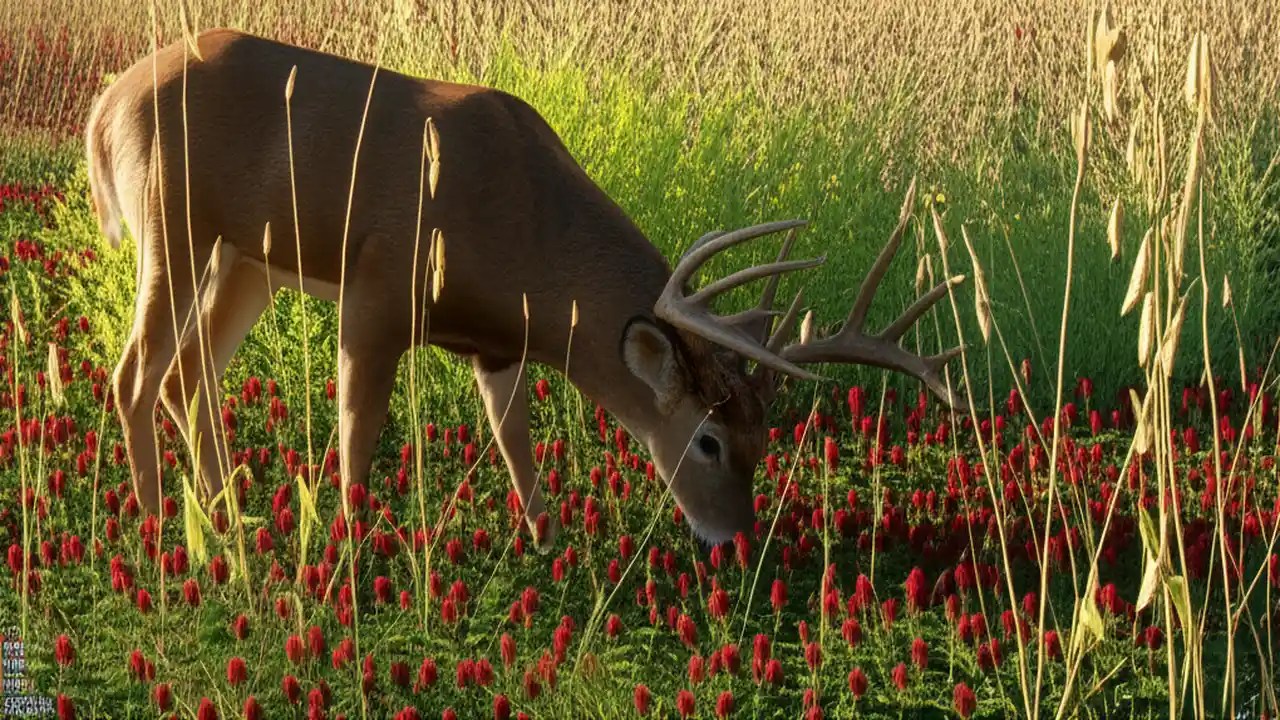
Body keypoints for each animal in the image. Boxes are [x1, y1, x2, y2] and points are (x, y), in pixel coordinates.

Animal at [85, 28, 968, 552]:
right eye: (711, 442)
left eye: (766, 442)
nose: (734, 541)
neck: (527, 233)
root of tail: (103, 104)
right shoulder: (379, 284)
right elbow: (359, 435)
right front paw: (353, 546)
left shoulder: (497, 343)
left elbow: (515, 440)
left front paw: (547, 541)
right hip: (172, 223)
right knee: (136, 373)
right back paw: (162, 527)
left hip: (247, 258)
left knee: (190, 369)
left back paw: (225, 514)